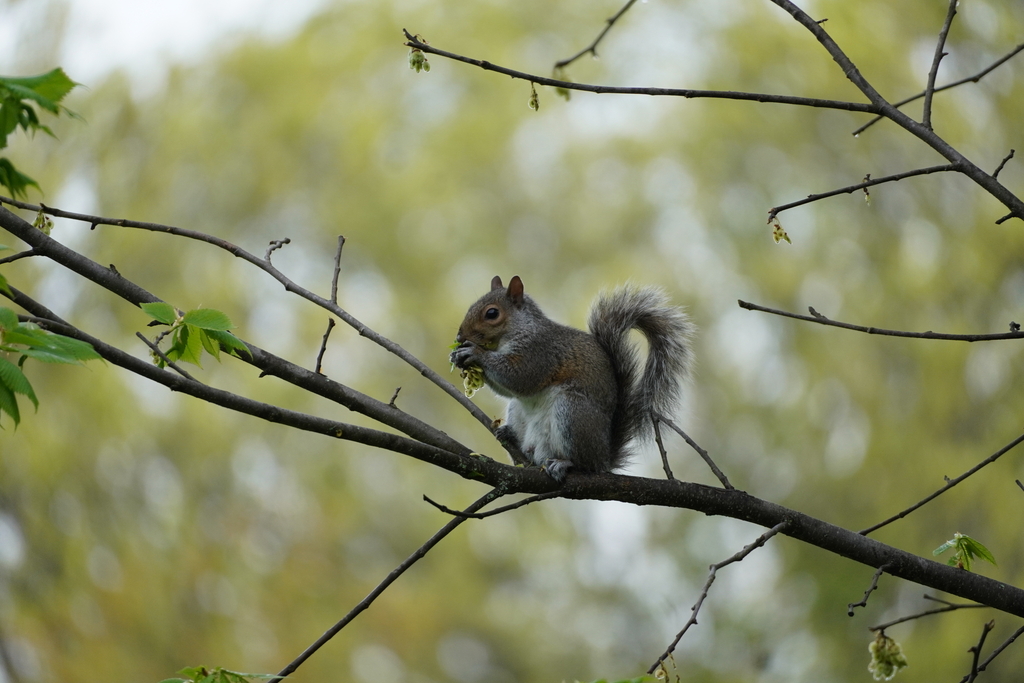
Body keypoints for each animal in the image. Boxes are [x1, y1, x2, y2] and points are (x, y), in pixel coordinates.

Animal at [450, 275, 693, 482]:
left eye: (492, 313)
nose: (460, 337)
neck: (516, 332)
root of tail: (604, 459)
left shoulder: (541, 352)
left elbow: (521, 378)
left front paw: (475, 354)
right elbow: (510, 389)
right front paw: (457, 356)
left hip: (572, 412)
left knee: (584, 464)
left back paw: (565, 464)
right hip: (519, 413)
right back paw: (509, 435)